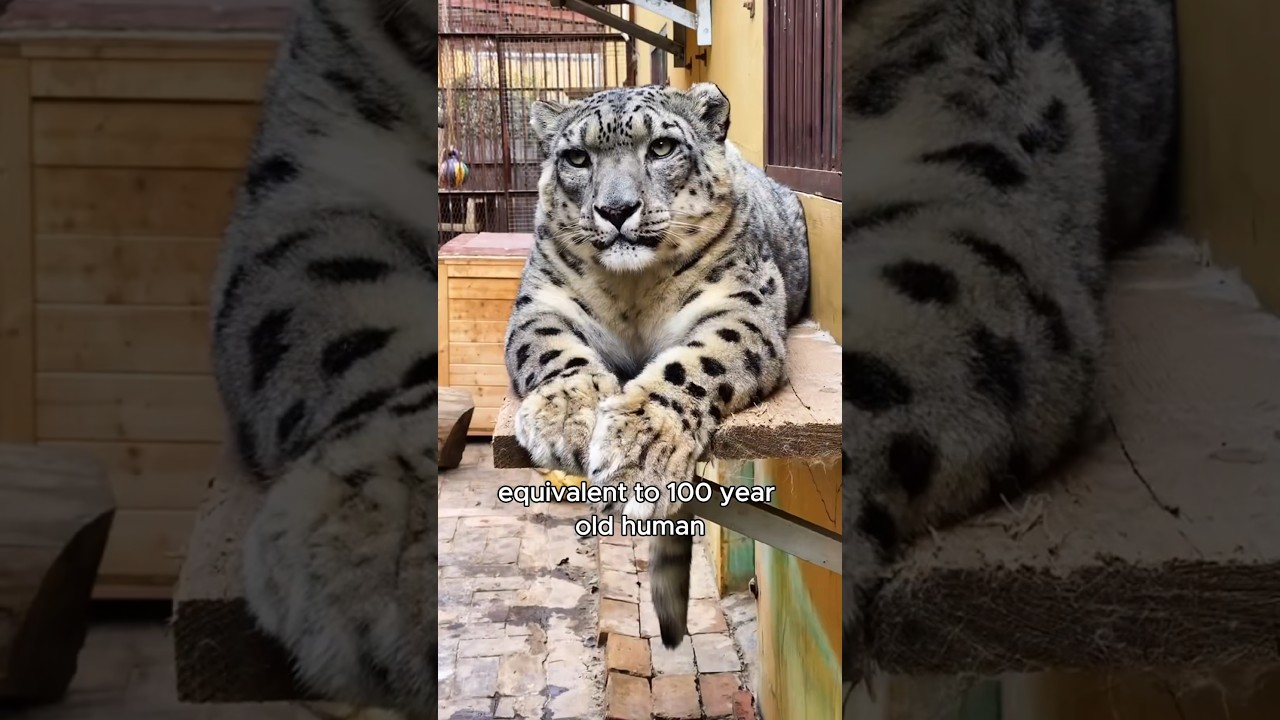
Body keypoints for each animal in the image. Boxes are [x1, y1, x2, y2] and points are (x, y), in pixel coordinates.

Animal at [507, 83, 811, 650]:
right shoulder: (541, 303)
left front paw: (641, 443)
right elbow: (552, 348)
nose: (616, 209)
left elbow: (697, 362)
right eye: (576, 157)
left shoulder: (740, 308)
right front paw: (565, 417)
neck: (635, 293)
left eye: (663, 147)